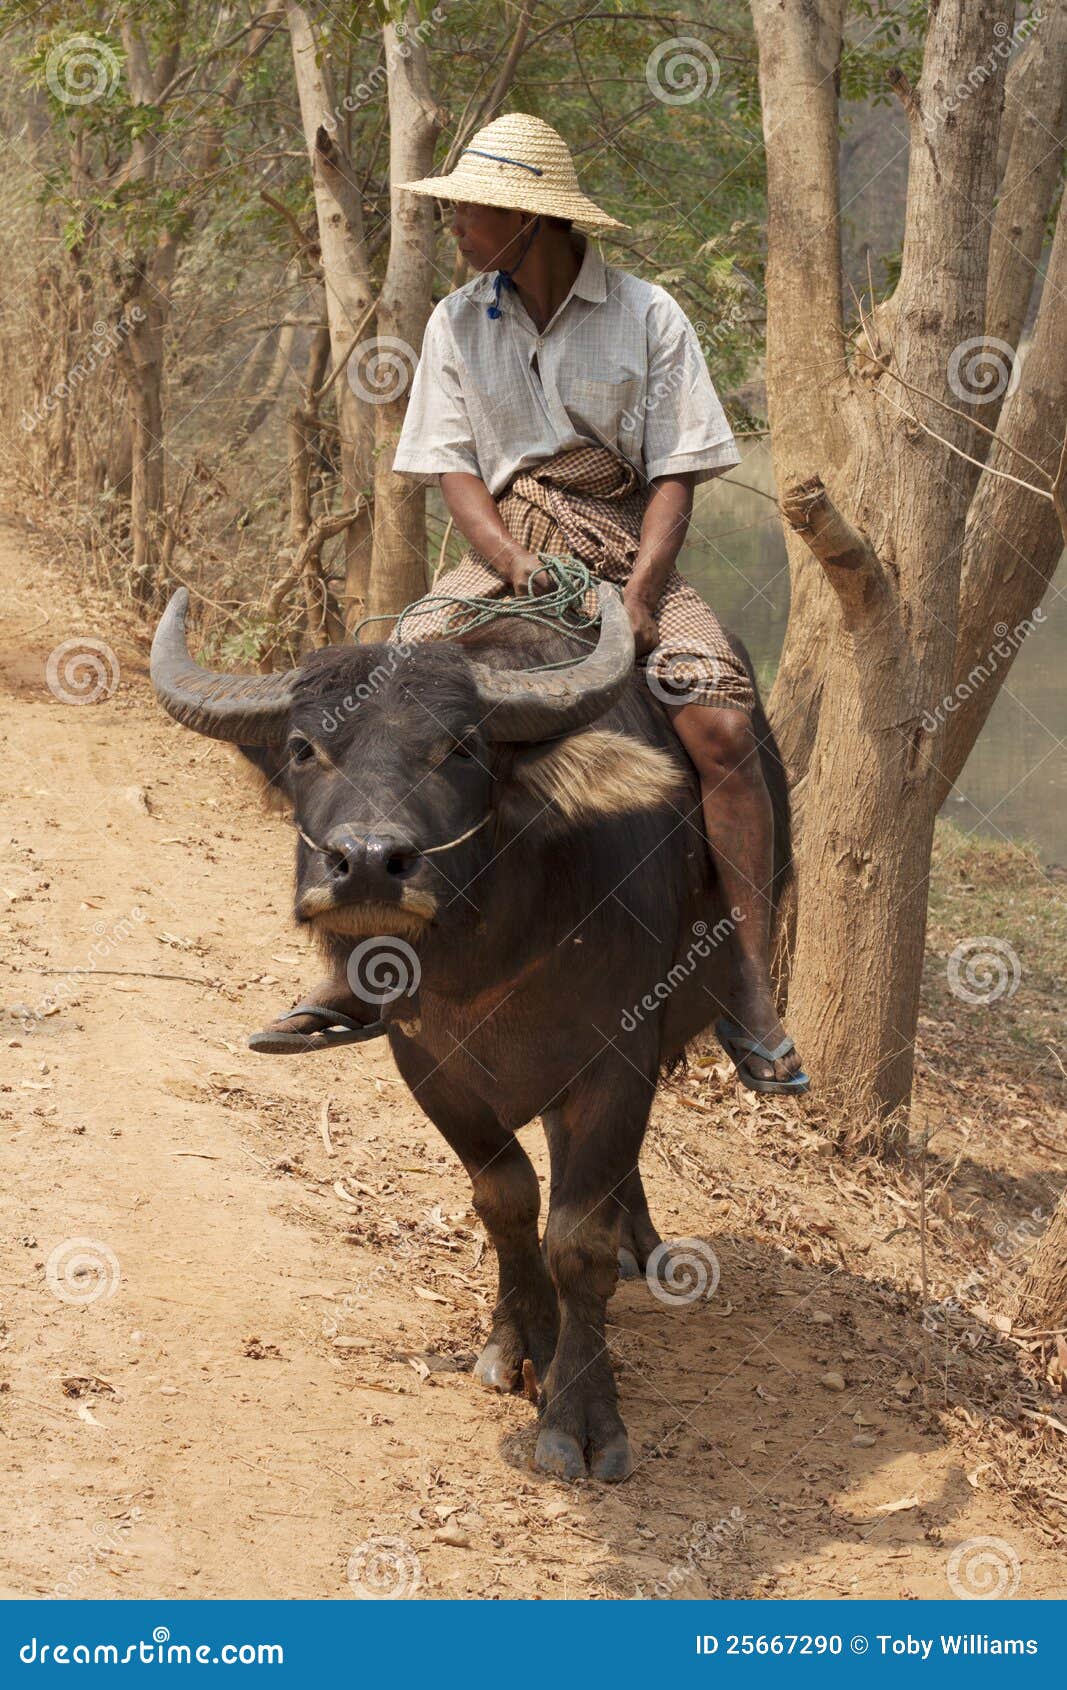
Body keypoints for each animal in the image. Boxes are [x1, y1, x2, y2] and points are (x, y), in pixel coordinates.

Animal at [151, 583, 790, 1482]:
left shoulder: (618, 1058)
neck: (501, 935)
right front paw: (524, 1344)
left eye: (459, 748)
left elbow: (579, 1240)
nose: (368, 863)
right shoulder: (429, 1062)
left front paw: (581, 1417)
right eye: (305, 748)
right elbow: (507, 1199)